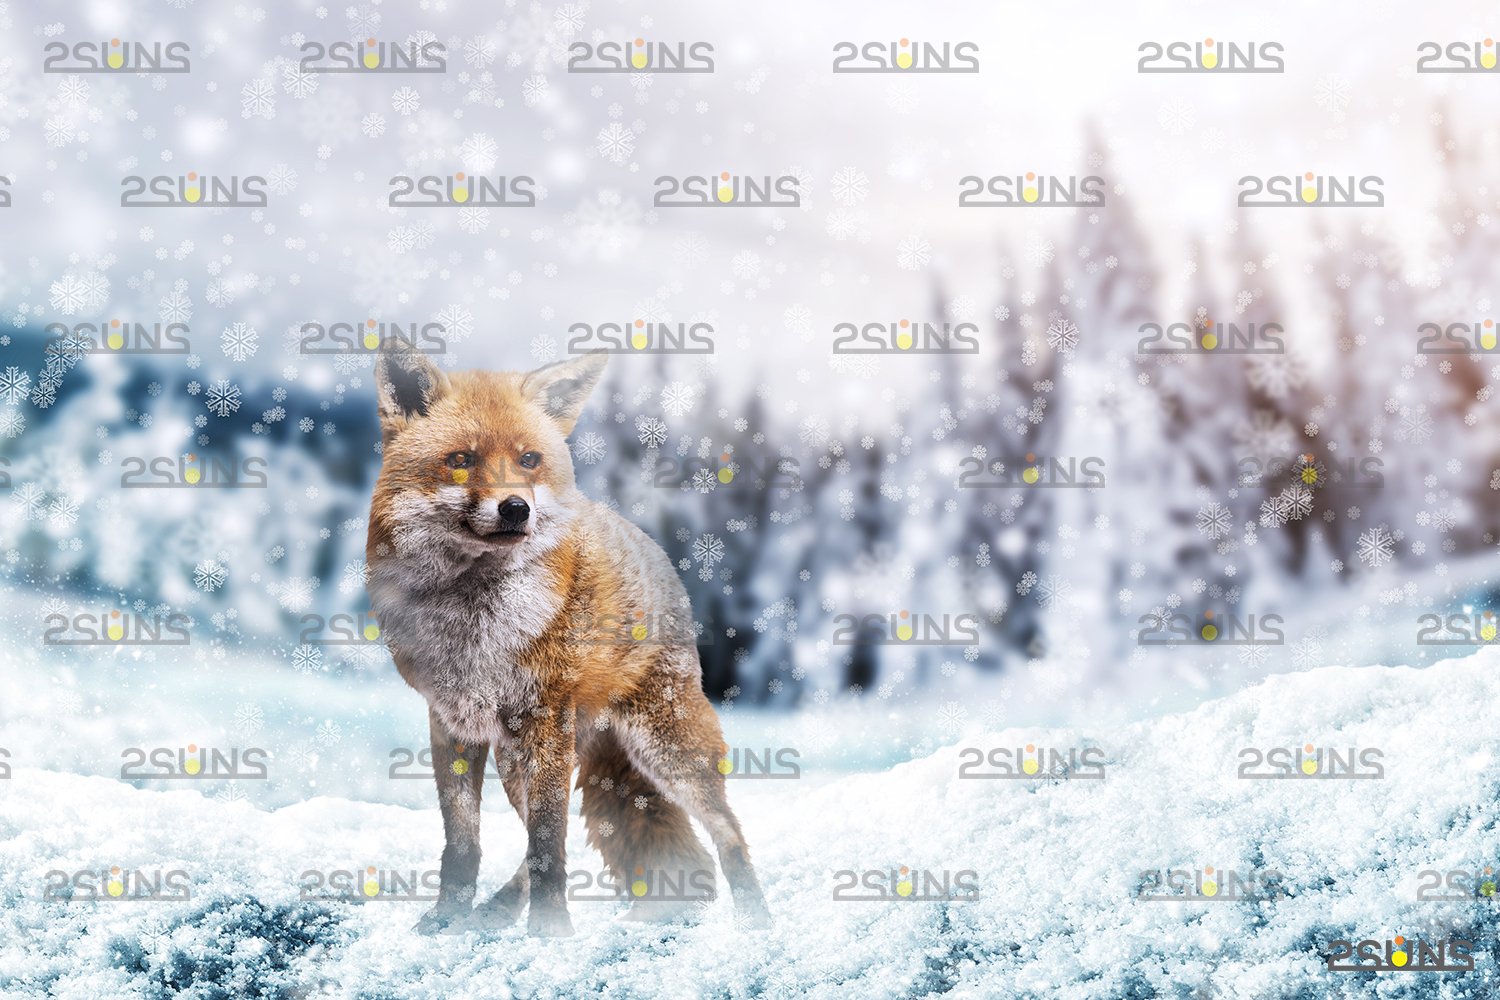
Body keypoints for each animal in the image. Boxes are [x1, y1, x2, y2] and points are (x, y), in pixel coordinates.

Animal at [365, 348, 770, 937]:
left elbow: (545, 845)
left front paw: (551, 932)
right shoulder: (452, 723)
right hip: (524, 760)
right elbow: (464, 845)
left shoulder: (545, 720)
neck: (475, 624)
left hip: (663, 751)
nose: (516, 508)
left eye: (529, 459)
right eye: (461, 459)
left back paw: (756, 920)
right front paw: (446, 920)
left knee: (729, 833)